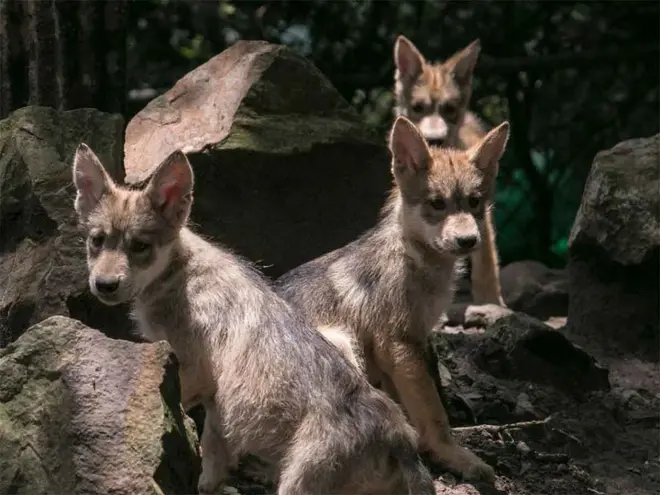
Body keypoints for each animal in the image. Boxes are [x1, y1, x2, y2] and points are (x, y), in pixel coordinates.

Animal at [71, 144, 435, 495]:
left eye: (140, 246)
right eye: (97, 240)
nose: (104, 285)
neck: (179, 274)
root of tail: (399, 437)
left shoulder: (195, 371)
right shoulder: (215, 400)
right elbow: (213, 454)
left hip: (297, 483)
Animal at [276, 116, 511, 482]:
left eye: (474, 202)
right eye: (437, 203)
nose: (468, 241)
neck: (415, 263)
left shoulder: (409, 344)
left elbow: (417, 404)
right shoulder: (398, 344)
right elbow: (435, 416)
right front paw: (455, 457)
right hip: (340, 343)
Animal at [393, 34, 505, 306]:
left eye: (449, 109)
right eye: (417, 107)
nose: (434, 139)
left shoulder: (481, 217)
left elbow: (486, 267)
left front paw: (491, 304)